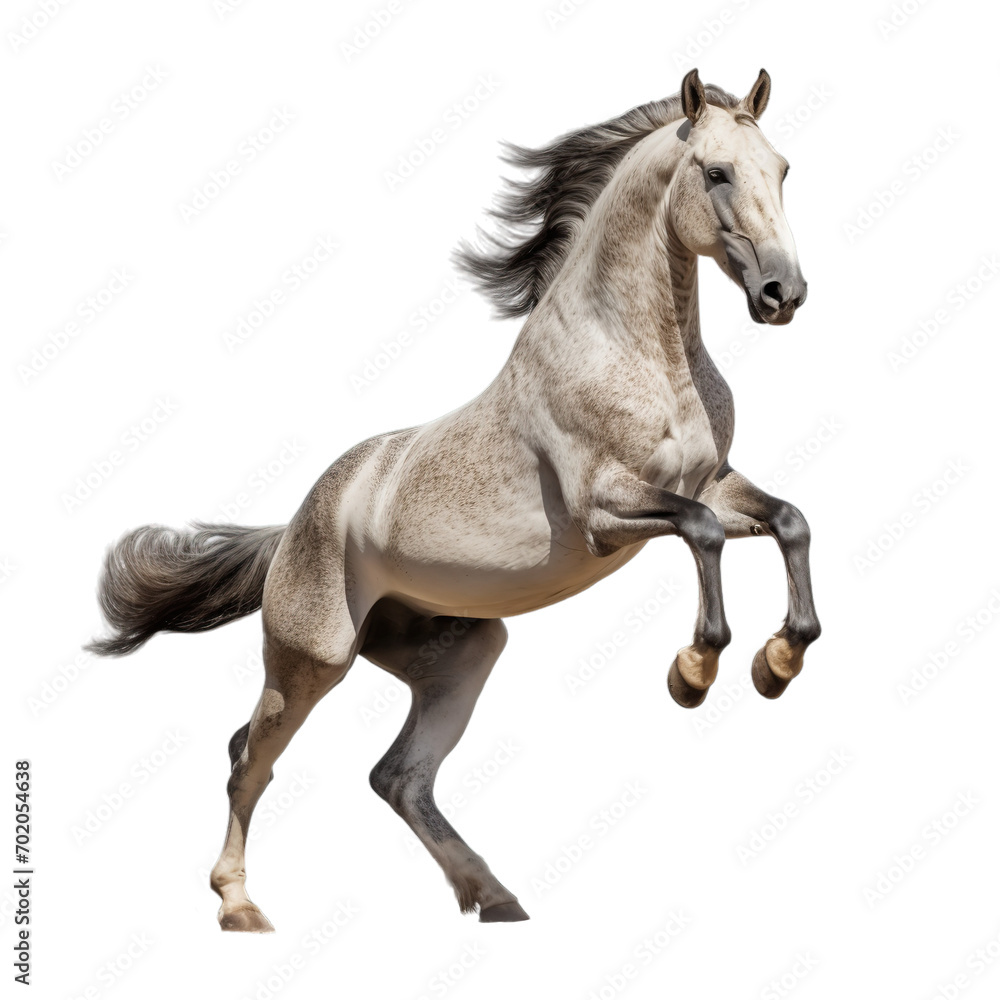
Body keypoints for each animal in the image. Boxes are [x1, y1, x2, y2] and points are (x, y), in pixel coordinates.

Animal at [87, 68, 821, 932]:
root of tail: (298, 522)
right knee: (249, 759)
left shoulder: (714, 481)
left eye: (781, 170)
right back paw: (239, 906)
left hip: (464, 652)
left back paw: (495, 898)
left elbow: (789, 521)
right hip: (312, 661)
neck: (643, 356)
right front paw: (695, 672)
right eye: (716, 172)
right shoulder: (607, 513)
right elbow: (703, 533)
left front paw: (778, 661)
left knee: (398, 776)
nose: (783, 292)